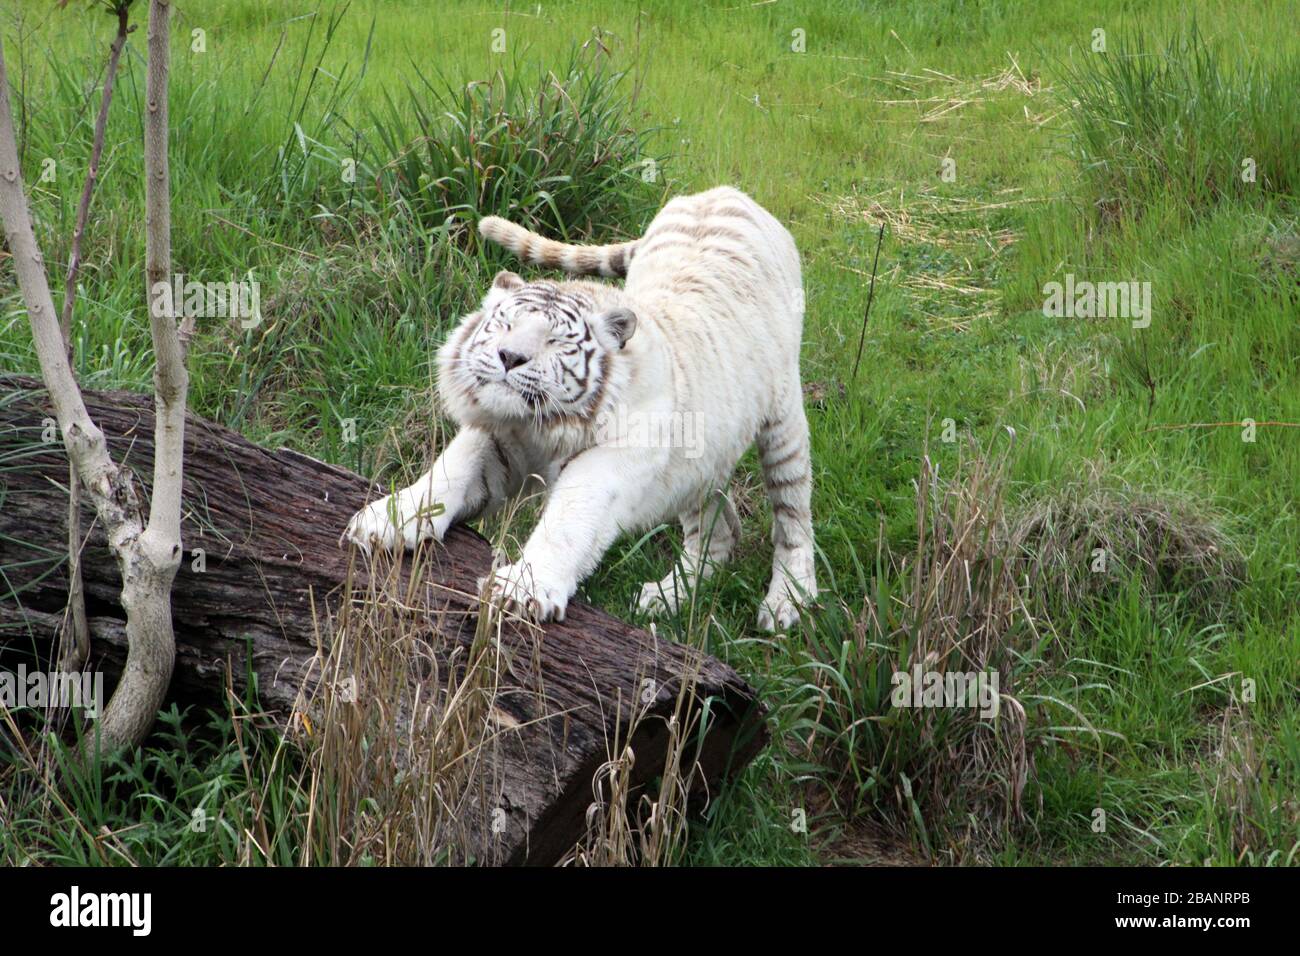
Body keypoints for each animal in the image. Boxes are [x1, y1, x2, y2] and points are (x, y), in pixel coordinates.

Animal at [342, 186, 818, 631]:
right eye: (506, 324)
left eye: (556, 341)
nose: (509, 357)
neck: (536, 428)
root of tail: (723, 192)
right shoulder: (498, 436)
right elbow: (451, 467)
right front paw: (387, 520)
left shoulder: (615, 456)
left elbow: (569, 517)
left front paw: (523, 590)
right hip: (699, 460)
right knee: (719, 530)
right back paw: (666, 597)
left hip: (784, 423)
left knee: (793, 514)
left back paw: (787, 602)